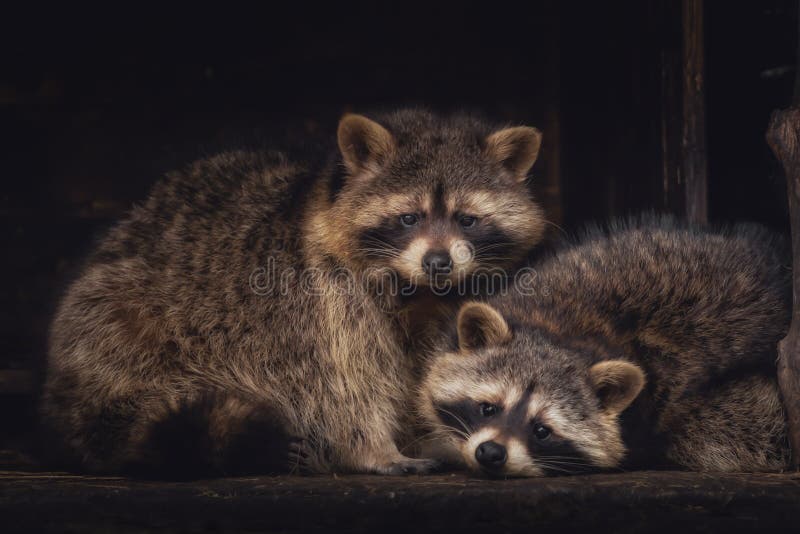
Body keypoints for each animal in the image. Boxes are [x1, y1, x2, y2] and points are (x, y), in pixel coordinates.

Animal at [41, 108, 547, 477]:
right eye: (408, 218)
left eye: (467, 219)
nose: (438, 263)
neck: (415, 289)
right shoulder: (317, 302)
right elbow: (344, 385)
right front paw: (377, 450)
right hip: (120, 333)